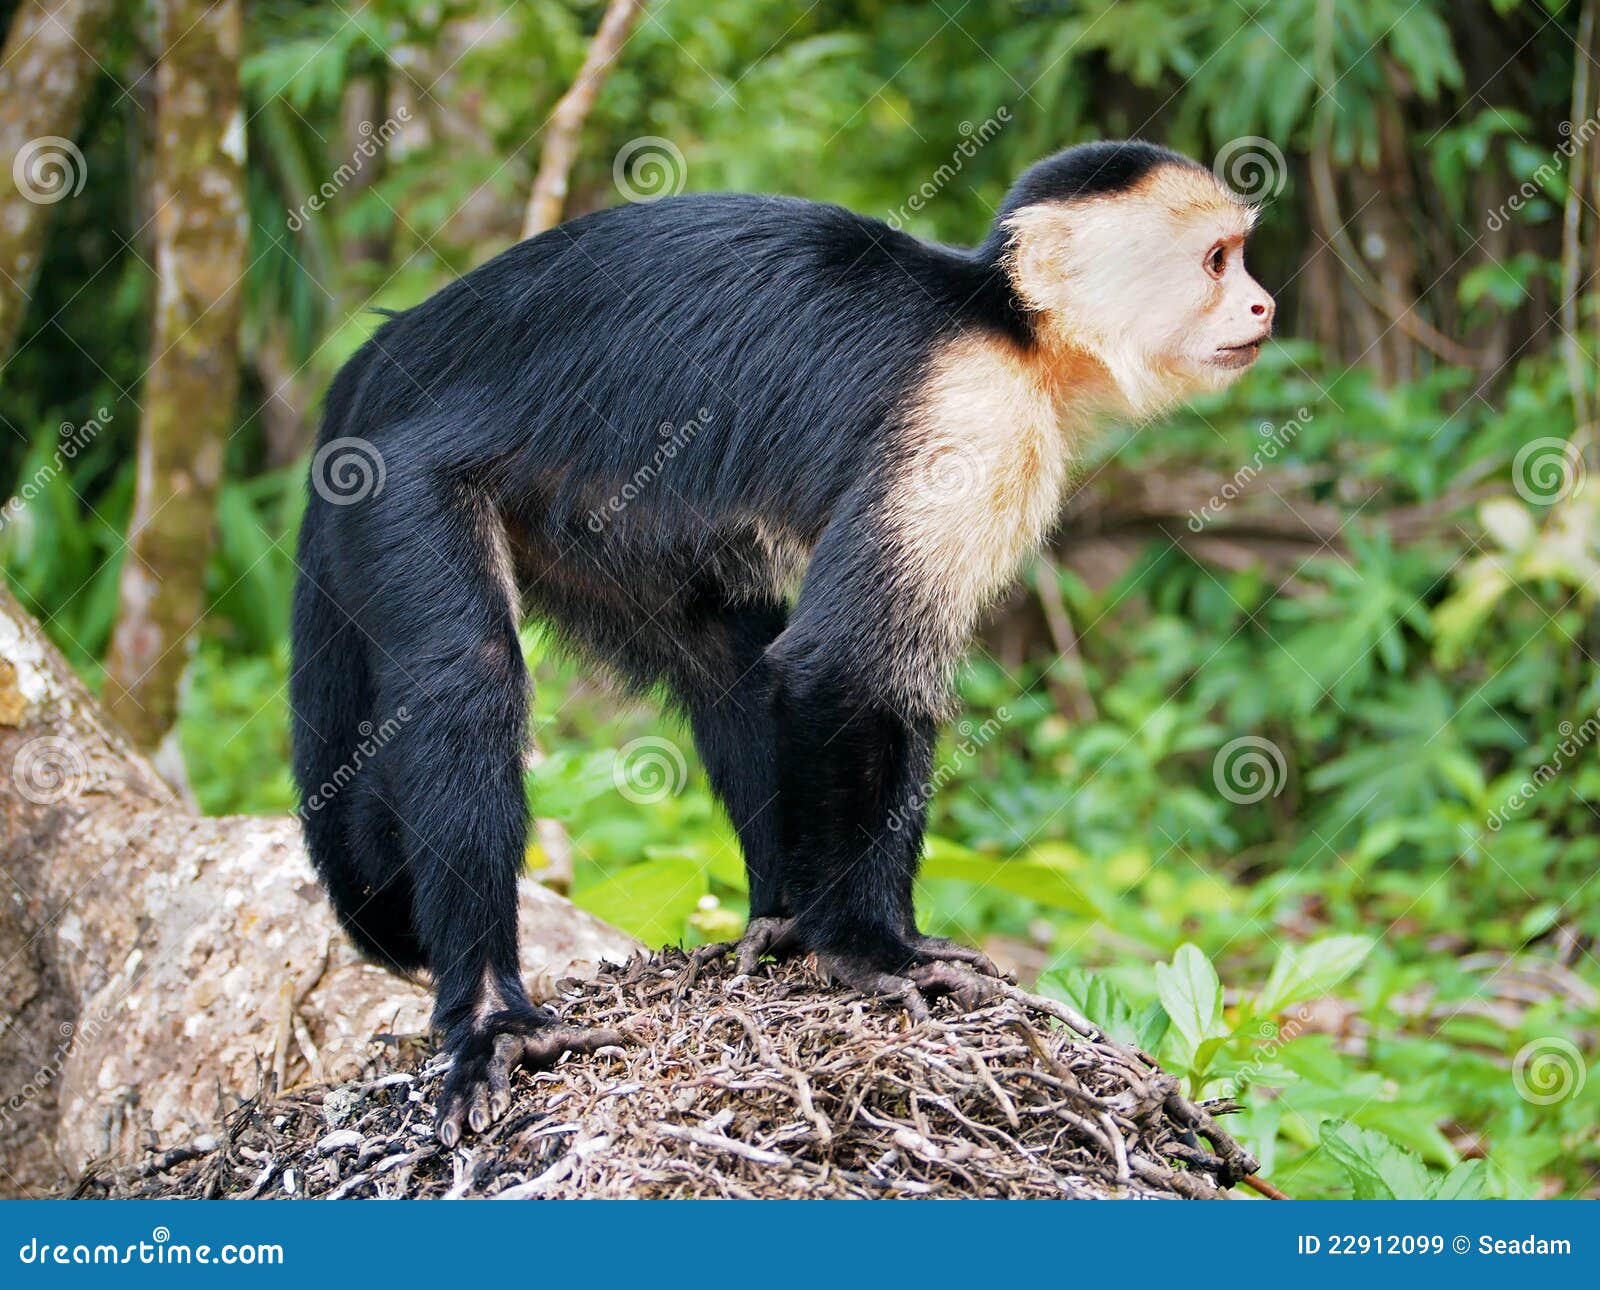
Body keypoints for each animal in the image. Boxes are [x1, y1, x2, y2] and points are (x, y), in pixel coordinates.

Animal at [289, 139, 1275, 1145]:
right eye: (1216, 262)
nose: (1264, 304)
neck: (1008, 328)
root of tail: (384, 349)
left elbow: (864, 680)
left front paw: (872, 934)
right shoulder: (972, 418)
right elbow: (841, 670)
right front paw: (869, 952)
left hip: (585, 514)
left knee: (724, 657)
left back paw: (779, 919)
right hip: (398, 479)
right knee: (471, 685)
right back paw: (494, 1016)